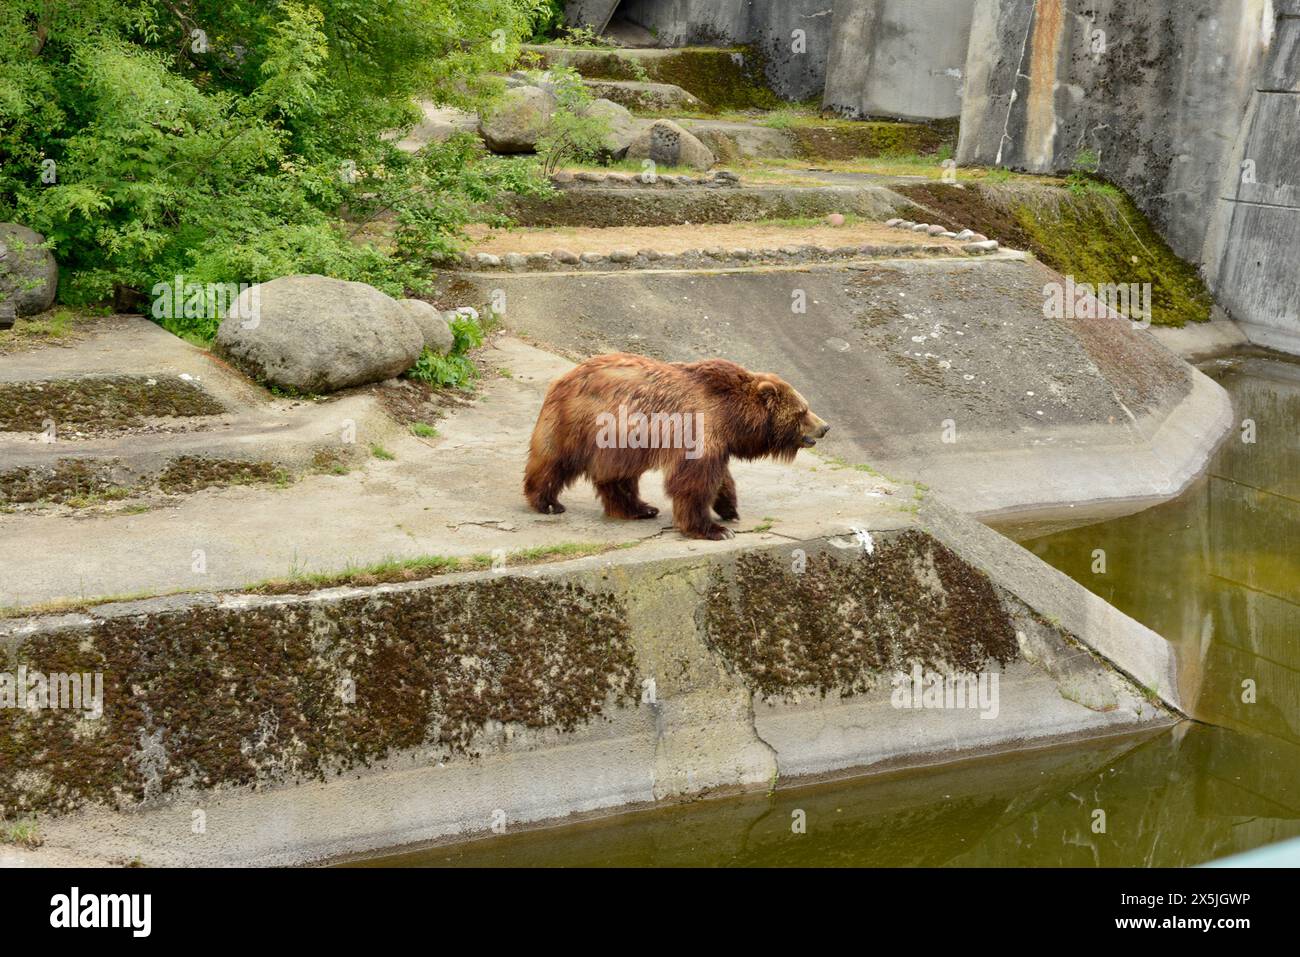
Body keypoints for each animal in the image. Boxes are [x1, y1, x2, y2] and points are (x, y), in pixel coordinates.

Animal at [523, 353, 830, 540]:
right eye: (803, 411)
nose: (825, 426)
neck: (733, 416)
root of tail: (565, 376)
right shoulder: (698, 428)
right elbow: (694, 481)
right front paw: (713, 529)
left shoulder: (717, 440)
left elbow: (719, 476)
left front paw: (730, 509)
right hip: (581, 420)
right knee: (555, 458)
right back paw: (547, 502)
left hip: (619, 441)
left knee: (617, 475)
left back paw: (640, 508)